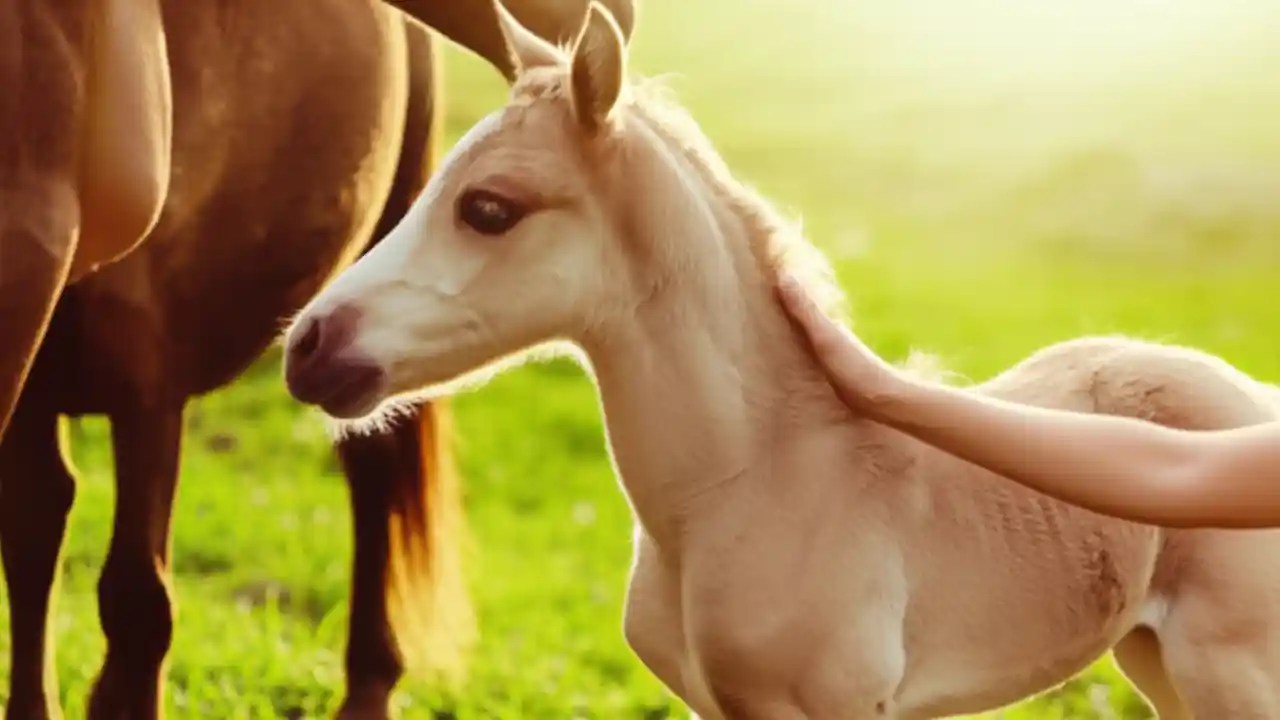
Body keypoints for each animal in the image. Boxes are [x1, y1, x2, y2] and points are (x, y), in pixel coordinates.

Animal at [0, 1, 631, 718]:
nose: (614, 24)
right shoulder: (39, 375)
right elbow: (35, 539)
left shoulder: (146, 381)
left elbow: (135, 603)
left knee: (375, 472)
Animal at [283, 2, 1280, 717]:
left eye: (489, 208)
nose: (308, 347)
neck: (752, 485)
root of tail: (1252, 399)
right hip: (1151, 656)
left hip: (1231, 671)